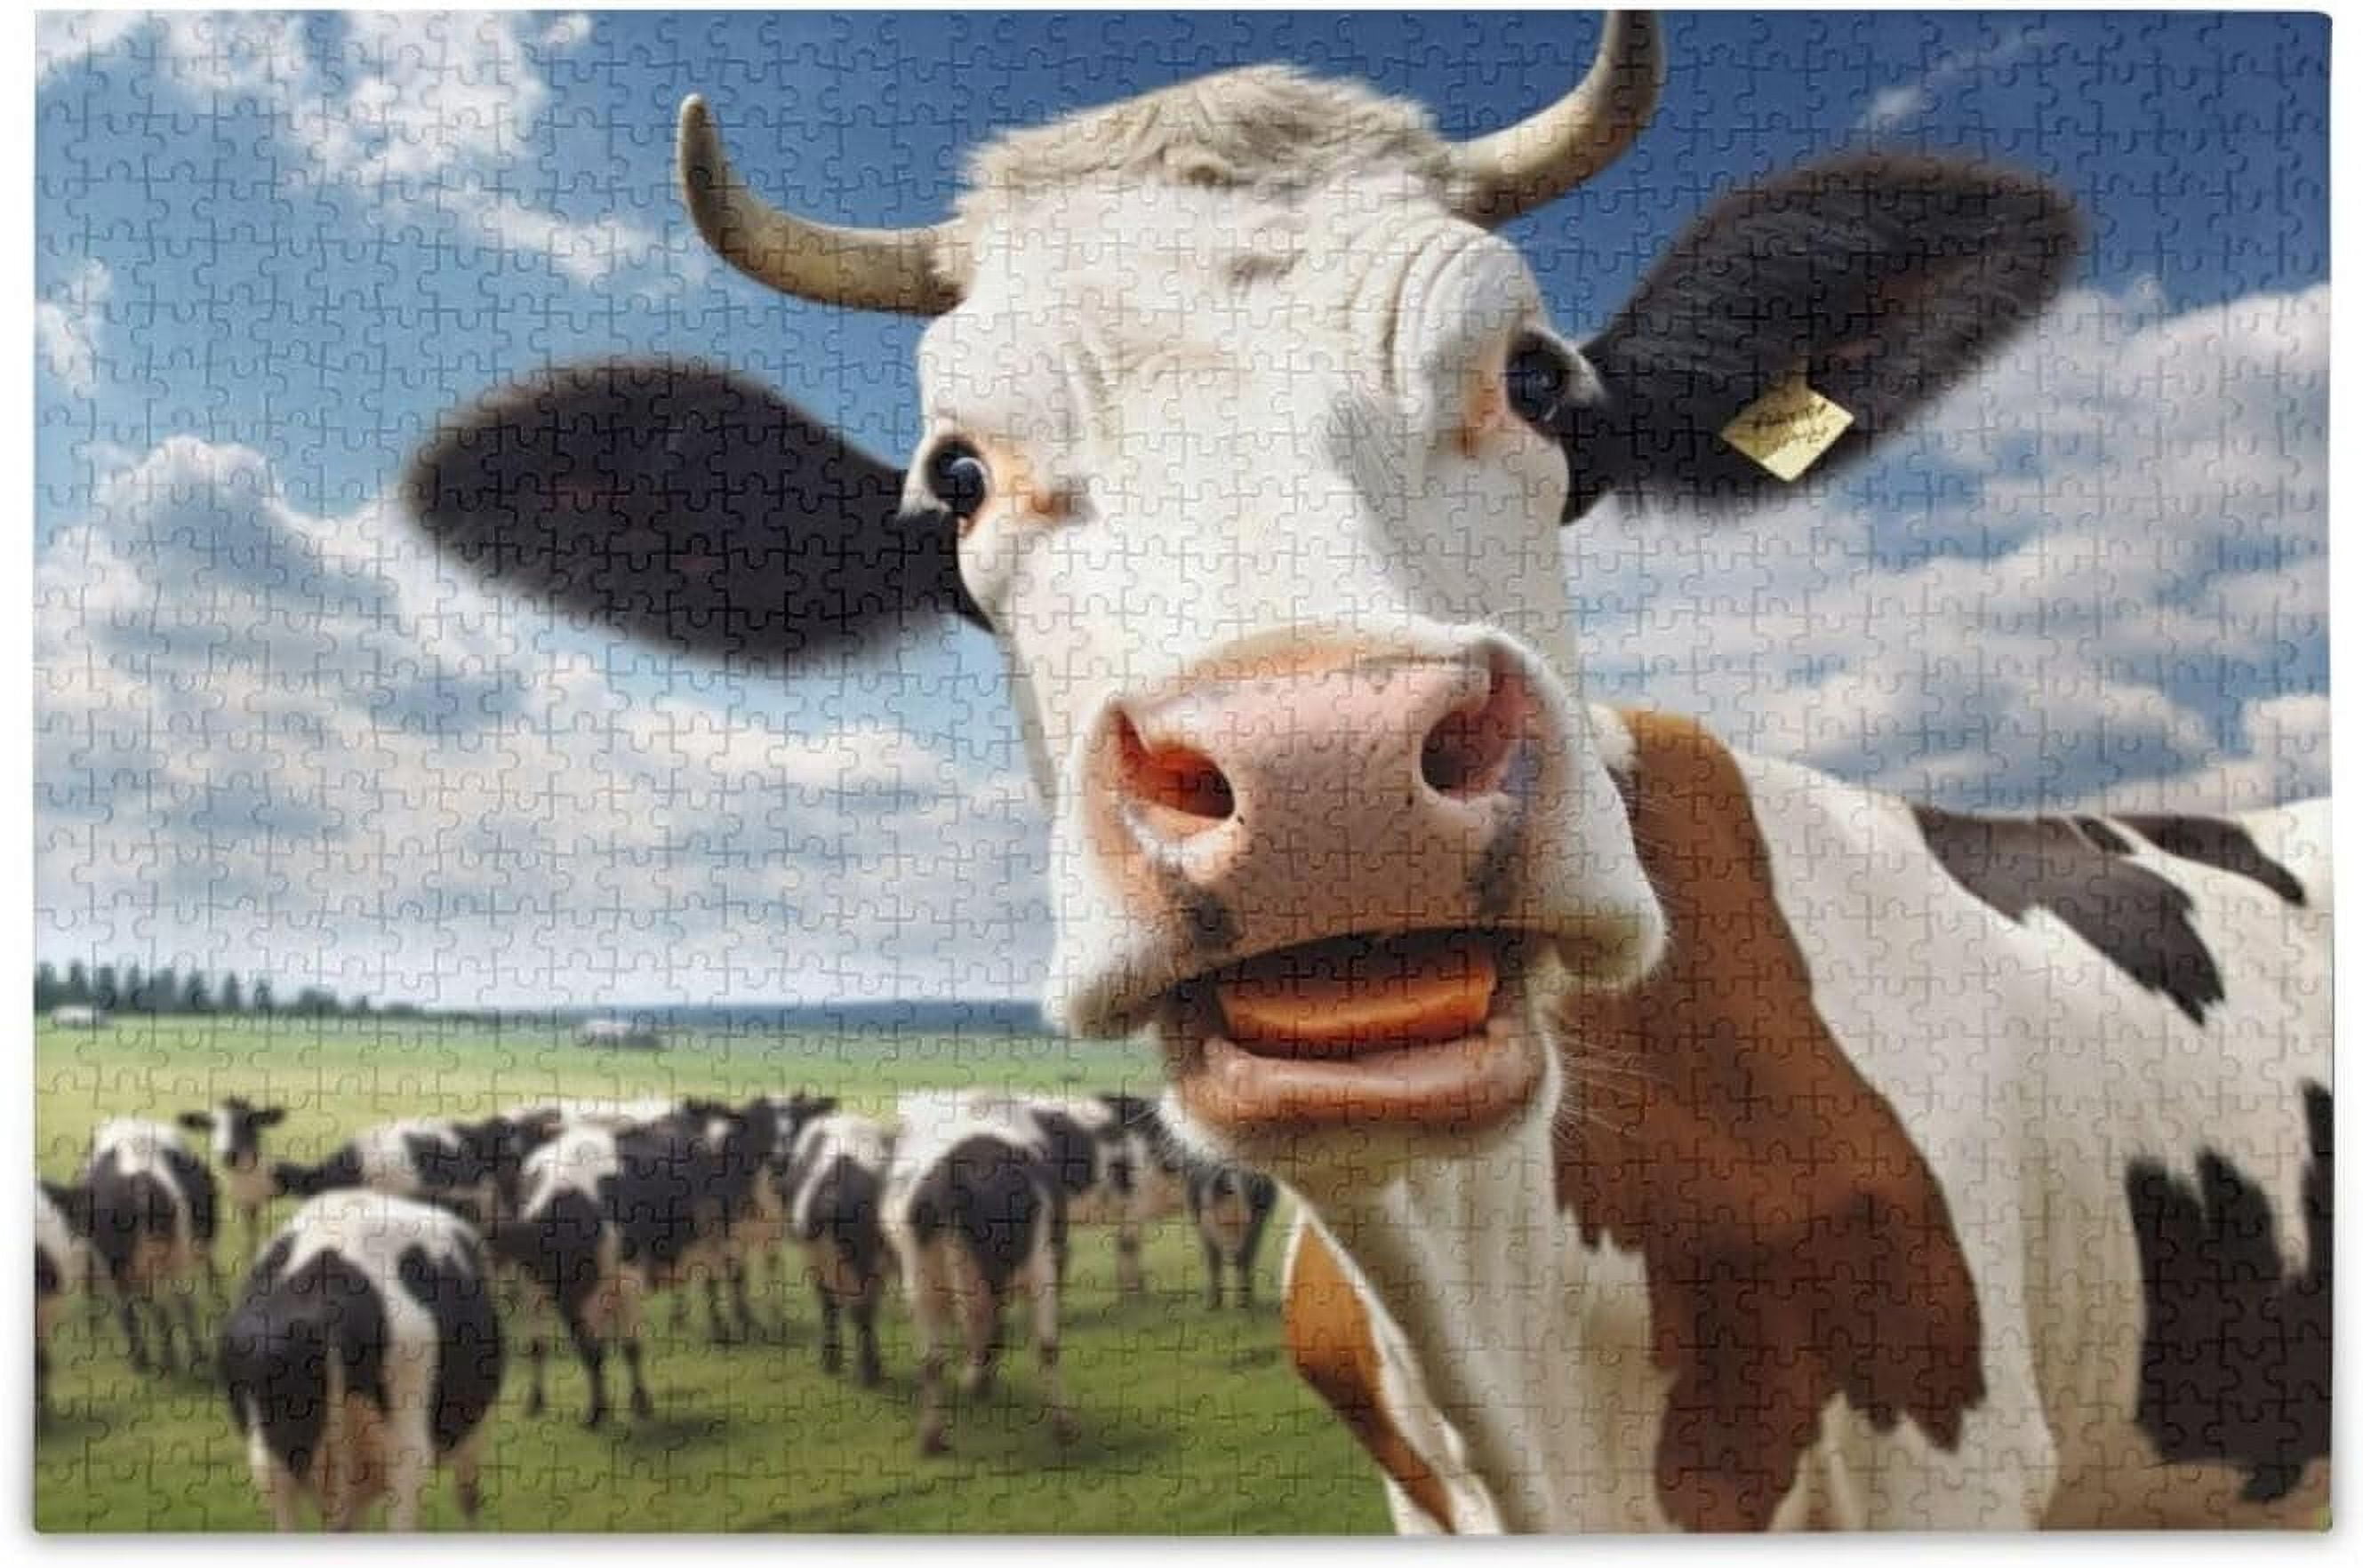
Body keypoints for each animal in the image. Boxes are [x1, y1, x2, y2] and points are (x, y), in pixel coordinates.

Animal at [885, 1093, 1075, 1454]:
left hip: (924, 1279)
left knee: (937, 1355)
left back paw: (936, 1433)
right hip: (1041, 1266)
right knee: (1045, 1344)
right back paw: (1061, 1427)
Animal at [1185, 1163, 1279, 1311]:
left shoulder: (1207, 1230)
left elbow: (1213, 1261)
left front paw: (1212, 1304)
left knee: (1236, 1256)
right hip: (1254, 1228)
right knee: (1246, 1257)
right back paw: (1246, 1301)